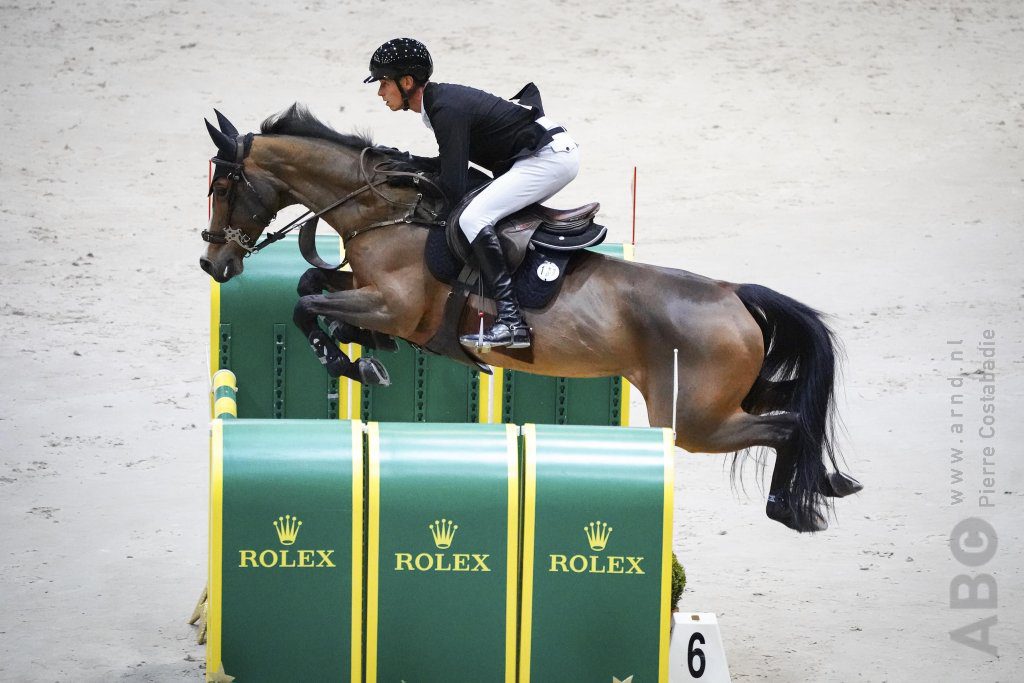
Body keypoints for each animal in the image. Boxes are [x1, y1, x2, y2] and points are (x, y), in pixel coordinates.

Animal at [198, 105, 861, 532]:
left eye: (224, 187)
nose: (213, 263)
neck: (384, 212)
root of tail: (733, 294)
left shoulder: (393, 305)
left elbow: (307, 304)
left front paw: (351, 362)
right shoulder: (367, 292)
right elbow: (311, 285)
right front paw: (359, 350)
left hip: (692, 420)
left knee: (786, 425)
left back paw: (792, 508)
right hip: (721, 401)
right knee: (794, 404)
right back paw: (830, 482)